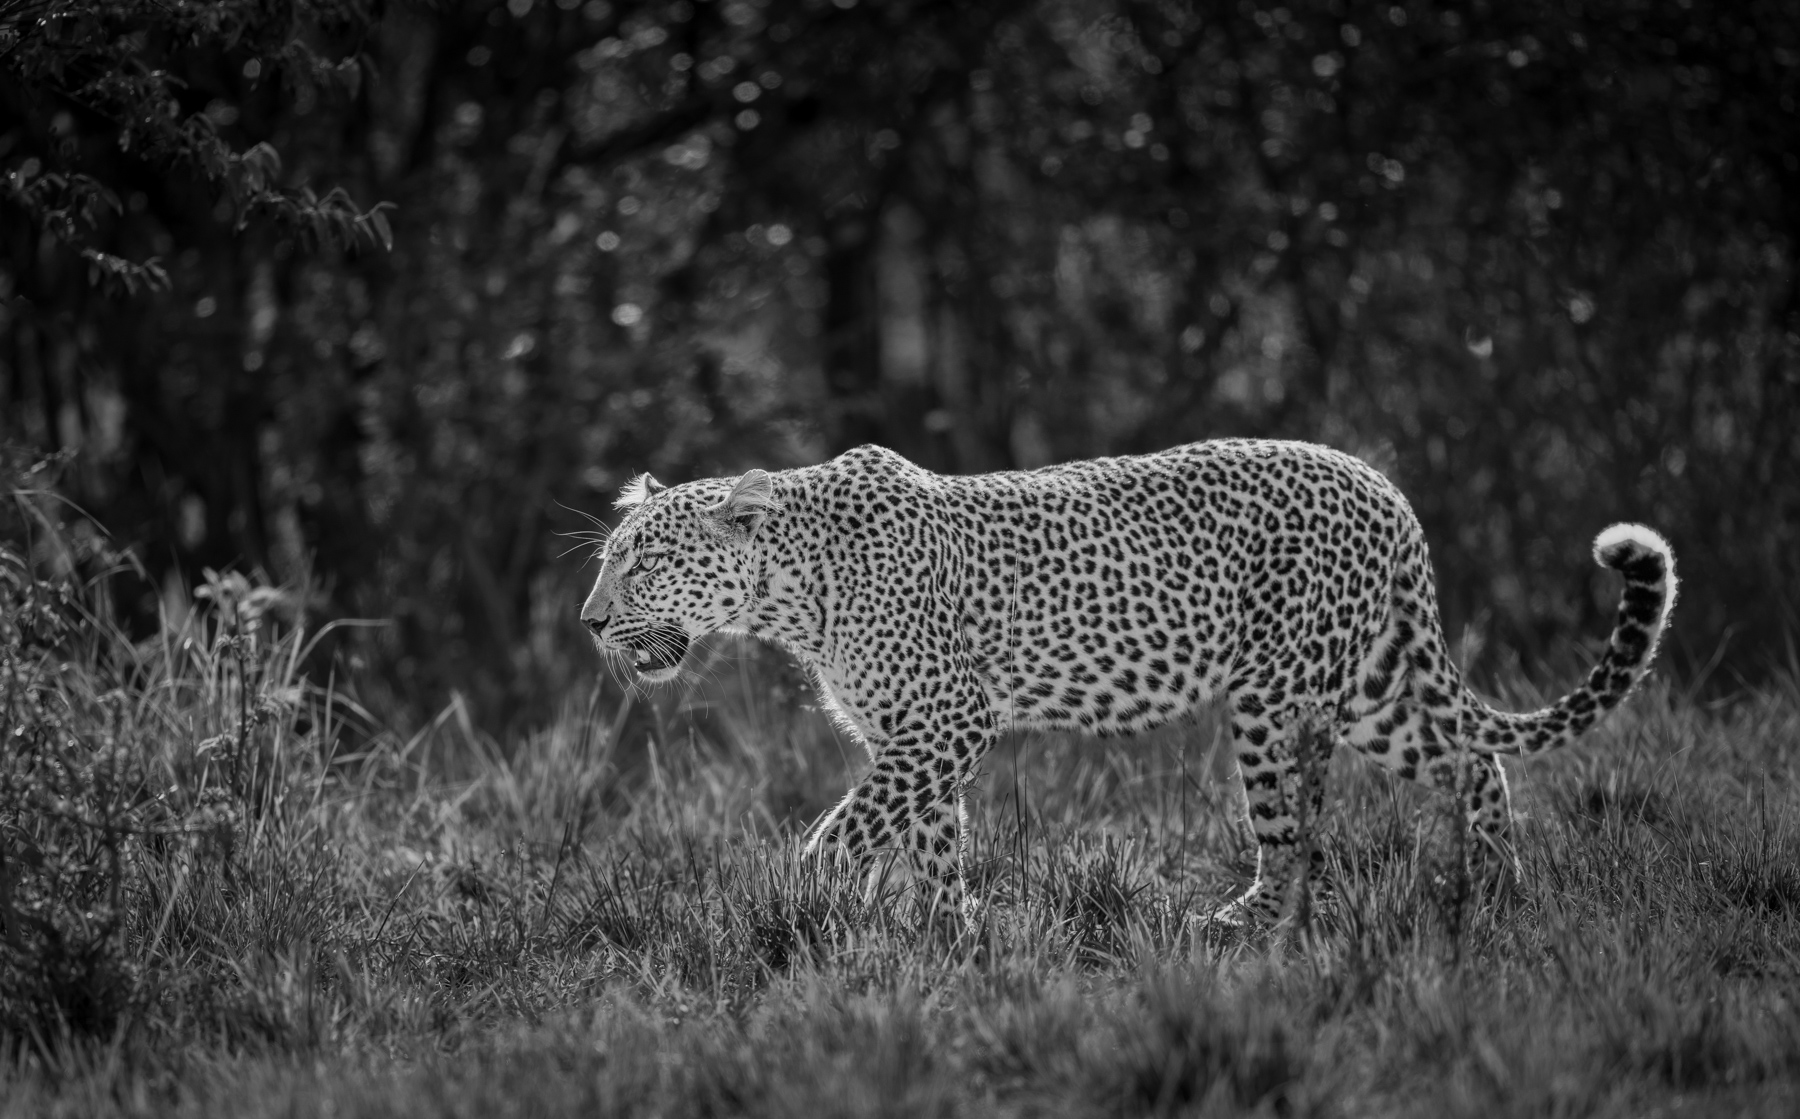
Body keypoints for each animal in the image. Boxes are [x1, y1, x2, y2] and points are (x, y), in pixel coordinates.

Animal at [578, 439, 1677, 925]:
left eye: (642, 560)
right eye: (610, 558)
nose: (589, 620)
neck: (790, 591)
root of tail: (1384, 485)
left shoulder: (947, 722)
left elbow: (844, 828)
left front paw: (792, 897)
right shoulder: (915, 739)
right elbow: (928, 843)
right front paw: (948, 935)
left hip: (1276, 701)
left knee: (1298, 838)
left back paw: (1244, 929)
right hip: (1367, 689)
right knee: (1475, 766)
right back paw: (1496, 892)